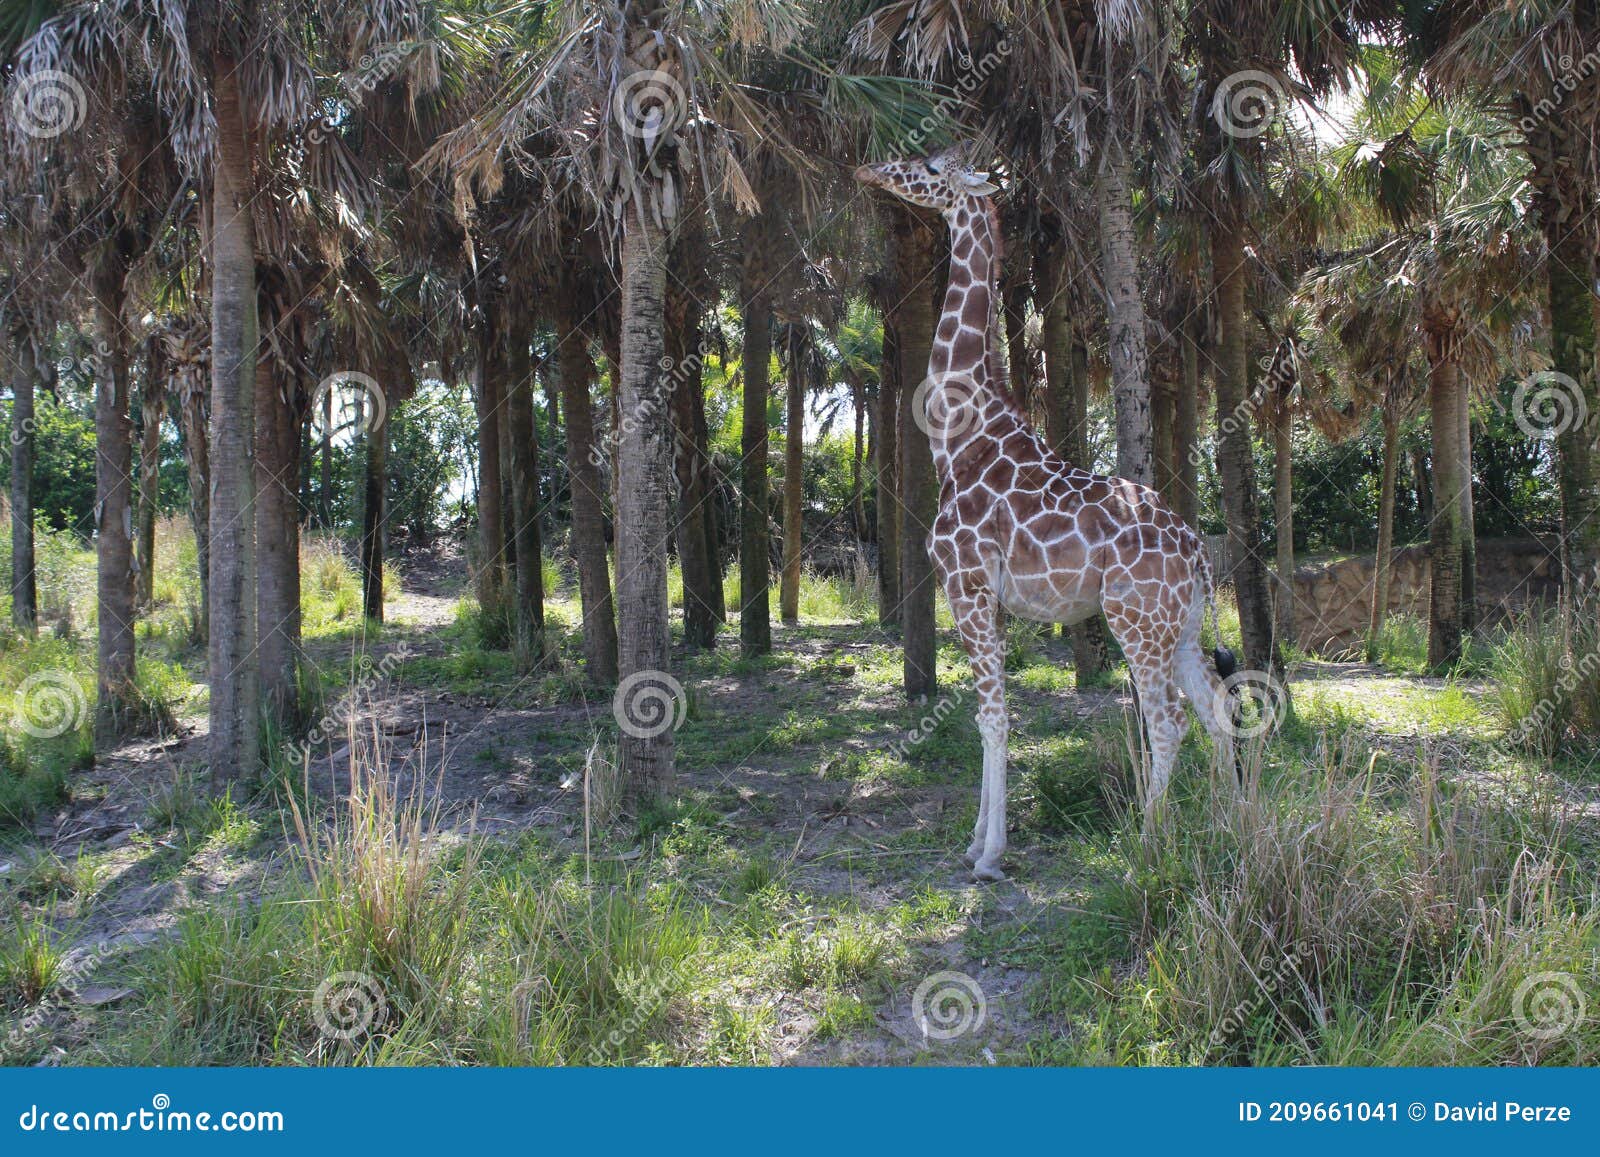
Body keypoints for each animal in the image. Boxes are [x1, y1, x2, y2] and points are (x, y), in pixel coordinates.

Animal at [856, 146, 1238, 882]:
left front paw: (990, 856)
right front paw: (976, 841)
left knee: (1169, 718)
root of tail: (1200, 557)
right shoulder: (992, 598)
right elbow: (989, 715)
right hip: (1181, 626)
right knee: (1217, 706)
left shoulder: (967, 585)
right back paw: (1237, 826)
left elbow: (993, 717)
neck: (960, 440)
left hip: (1135, 620)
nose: (870, 170)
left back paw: (1147, 850)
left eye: (930, 165)